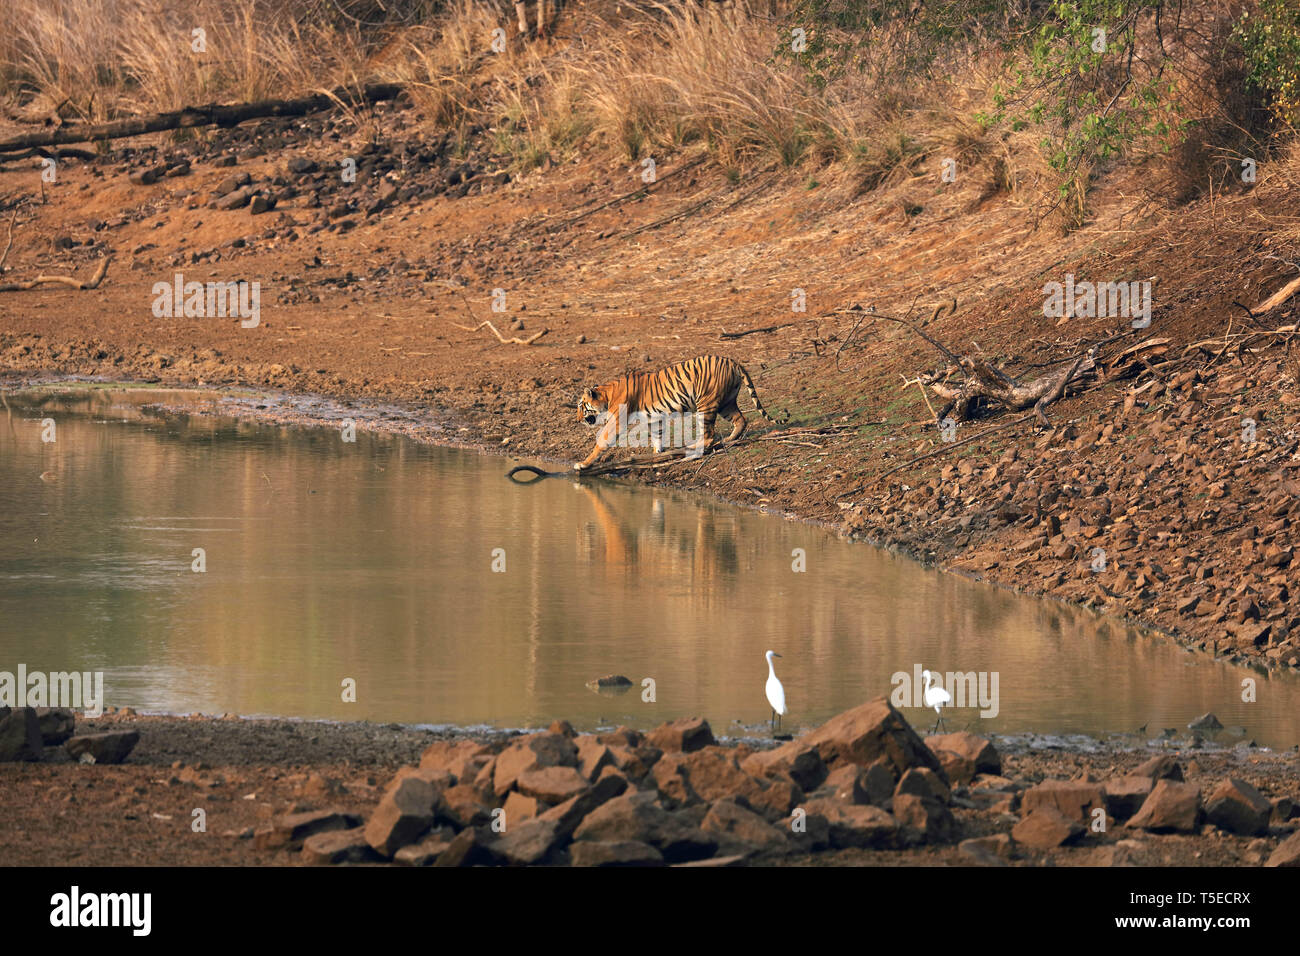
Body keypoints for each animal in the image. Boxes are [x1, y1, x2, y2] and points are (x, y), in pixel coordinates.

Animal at [574, 354, 782, 471]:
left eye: (581, 406)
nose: (577, 420)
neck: (607, 395)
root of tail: (732, 361)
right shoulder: (654, 419)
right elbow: (657, 438)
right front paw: (656, 455)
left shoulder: (618, 420)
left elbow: (602, 442)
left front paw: (583, 464)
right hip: (726, 403)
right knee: (741, 419)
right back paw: (730, 440)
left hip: (705, 404)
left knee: (709, 435)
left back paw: (692, 448)